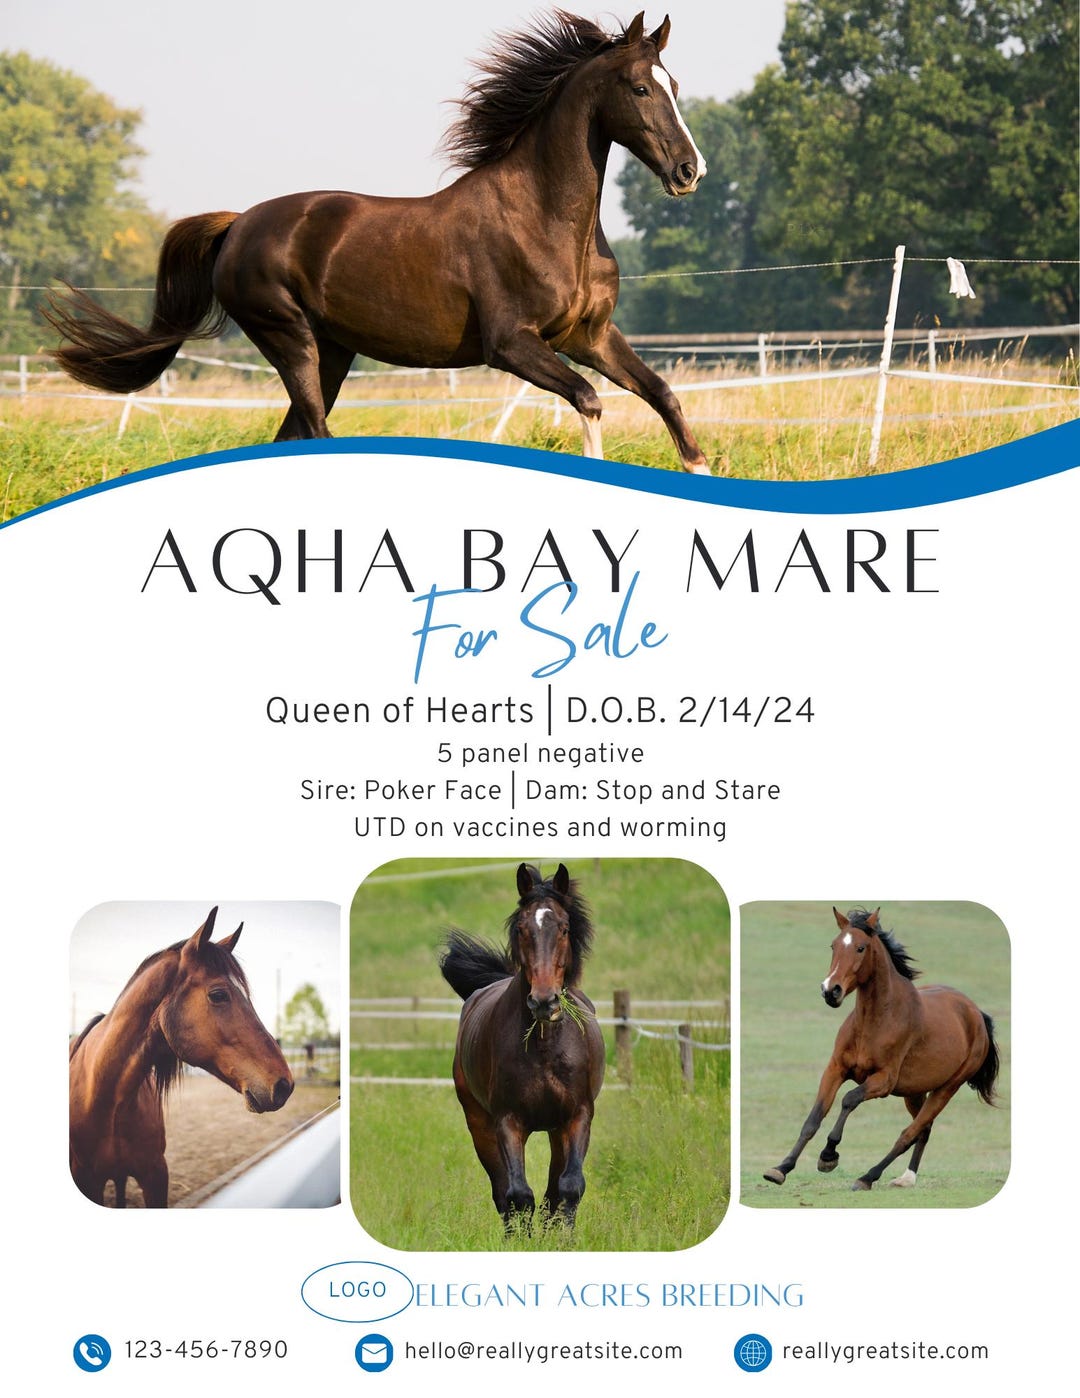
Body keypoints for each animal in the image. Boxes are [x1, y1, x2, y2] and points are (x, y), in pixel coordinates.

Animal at [43, 12, 710, 473]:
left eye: (674, 83)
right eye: (640, 88)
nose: (690, 171)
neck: (544, 220)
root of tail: (237, 224)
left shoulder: (589, 337)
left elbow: (665, 396)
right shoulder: (512, 345)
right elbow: (589, 400)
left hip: (333, 352)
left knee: (294, 434)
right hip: (291, 340)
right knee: (314, 430)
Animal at [440, 863, 605, 1228]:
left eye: (564, 928)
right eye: (520, 928)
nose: (543, 1001)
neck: (545, 1049)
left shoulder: (577, 1116)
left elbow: (569, 1187)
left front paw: (564, 1237)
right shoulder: (508, 1121)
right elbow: (518, 1195)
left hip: (556, 1130)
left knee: (553, 1190)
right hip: (479, 1124)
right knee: (503, 1192)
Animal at [763, 907, 999, 1192]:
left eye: (861, 948)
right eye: (833, 945)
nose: (830, 991)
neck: (874, 1021)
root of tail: (977, 1013)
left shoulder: (883, 1081)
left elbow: (849, 1099)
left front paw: (828, 1156)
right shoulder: (835, 1069)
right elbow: (813, 1119)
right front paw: (780, 1169)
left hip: (946, 1089)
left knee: (909, 1133)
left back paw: (867, 1177)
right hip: (915, 1092)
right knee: (923, 1129)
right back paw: (906, 1178)